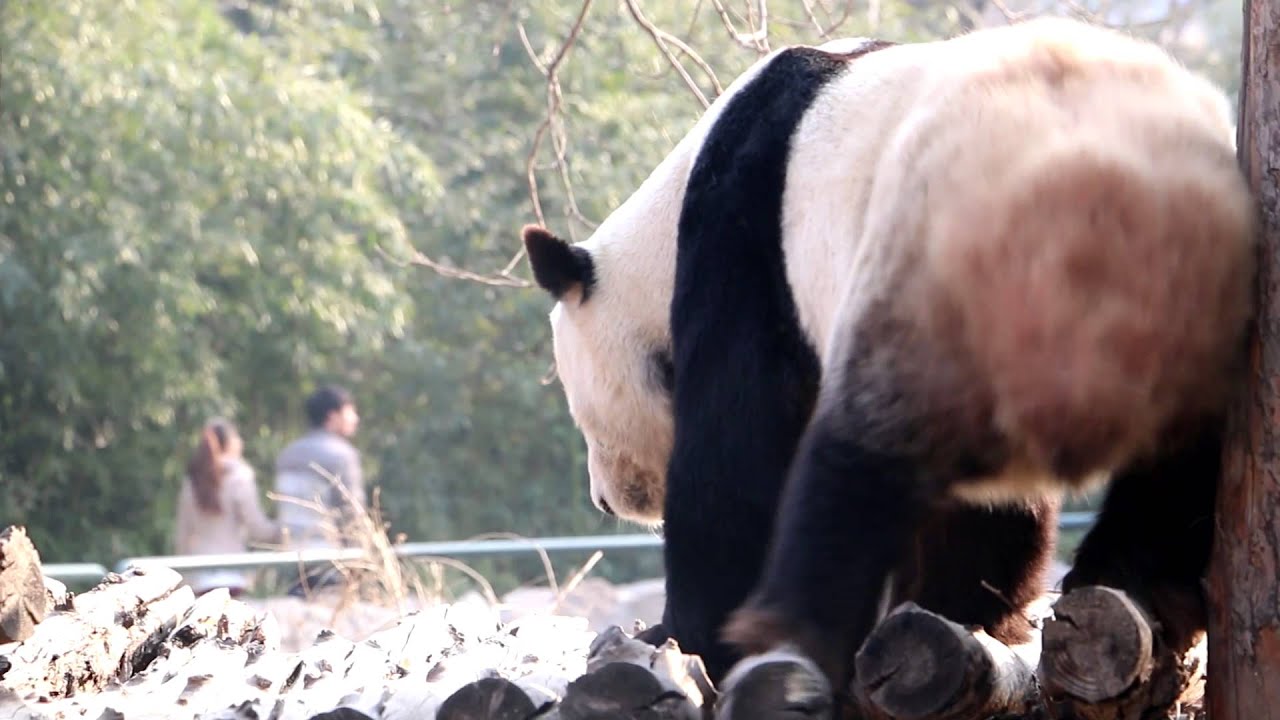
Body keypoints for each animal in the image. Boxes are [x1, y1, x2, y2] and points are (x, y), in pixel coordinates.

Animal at [521, 16, 1256, 698]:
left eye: (581, 410)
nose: (606, 499)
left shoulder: (752, 240)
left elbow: (737, 449)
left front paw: (681, 632)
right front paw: (973, 608)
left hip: (933, 275)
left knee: (857, 463)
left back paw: (795, 629)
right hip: (1198, 287)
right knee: (1173, 465)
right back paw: (1140, 579)